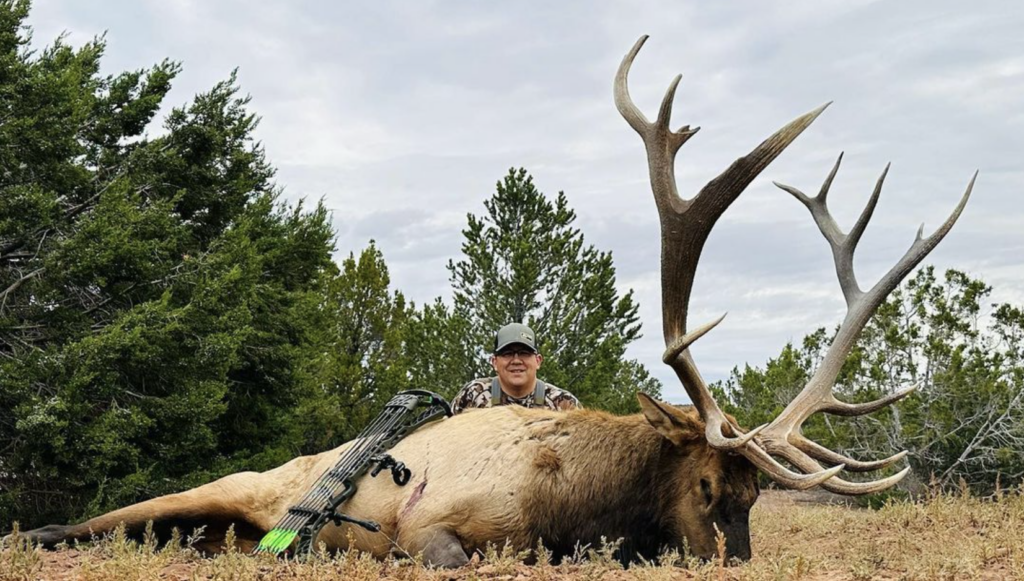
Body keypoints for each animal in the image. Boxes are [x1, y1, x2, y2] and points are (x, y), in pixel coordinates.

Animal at [12, 35, 974, 567]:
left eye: (757, 497)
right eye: (706, 483)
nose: (732, 563)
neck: (582, 499)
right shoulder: (430, 523)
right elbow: (446, 558)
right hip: (230, 487)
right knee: (90, 516)